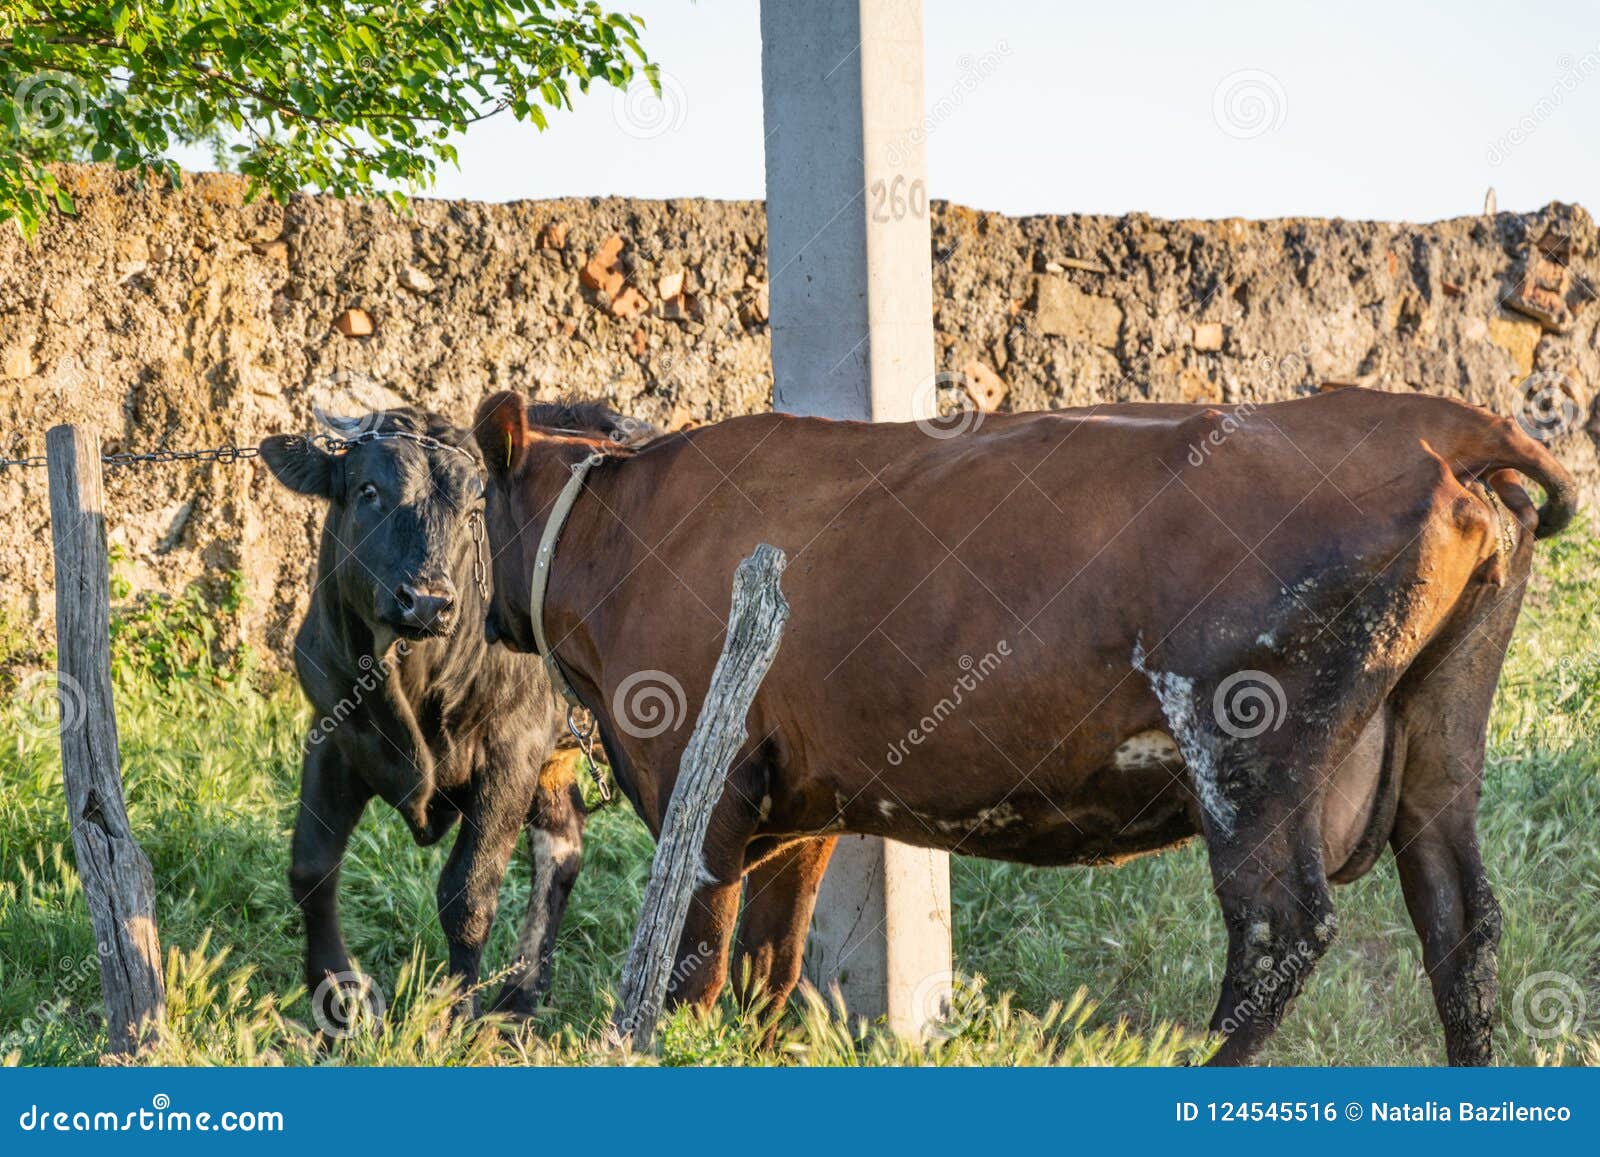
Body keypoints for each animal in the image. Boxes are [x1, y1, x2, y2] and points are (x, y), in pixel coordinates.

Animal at [259, 401, 649, 1030]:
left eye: (473, 511)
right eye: (369, 490)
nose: (427, 600)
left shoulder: (511, 753)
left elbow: (469, 896)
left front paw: (456, 1017)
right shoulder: (334, 736)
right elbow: (312, 870)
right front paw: (338, 1001)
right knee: (563, 847)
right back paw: (518, 1002)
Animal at [470, 385, 1576, 1065]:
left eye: (465, 498)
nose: (442, 606)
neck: (624, 526)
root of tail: (1413, 420)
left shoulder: (703, 791)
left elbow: (689, 973)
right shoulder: (798, 815)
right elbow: (765, 975)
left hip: (1247, 753)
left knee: (1279, 930)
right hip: (1438, 745)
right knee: (1460, 922)